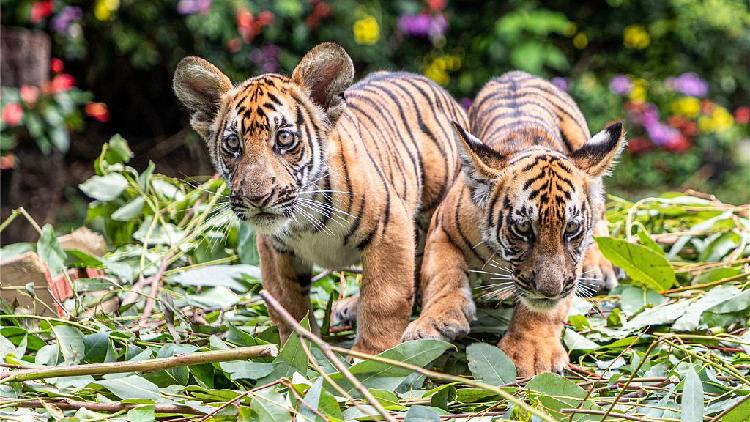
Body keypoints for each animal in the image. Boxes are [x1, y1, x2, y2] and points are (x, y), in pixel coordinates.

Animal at [173, 42, 466, 354]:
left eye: (285, 139)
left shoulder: (389, 227)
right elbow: (288, 305)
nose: (257, 197)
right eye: (232, 143)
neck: (302, 218)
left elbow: (383, 299)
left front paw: (371, 356)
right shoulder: (274, 249)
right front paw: (301, 352)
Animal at [402, 71, 625, 377]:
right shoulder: (443, 230)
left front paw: (531, 354)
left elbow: (543, 309)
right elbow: (441, 276)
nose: (549, 289)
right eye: (523, 229)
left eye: (570, 229)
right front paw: (435, 322)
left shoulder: (569, 269)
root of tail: (515, 74)